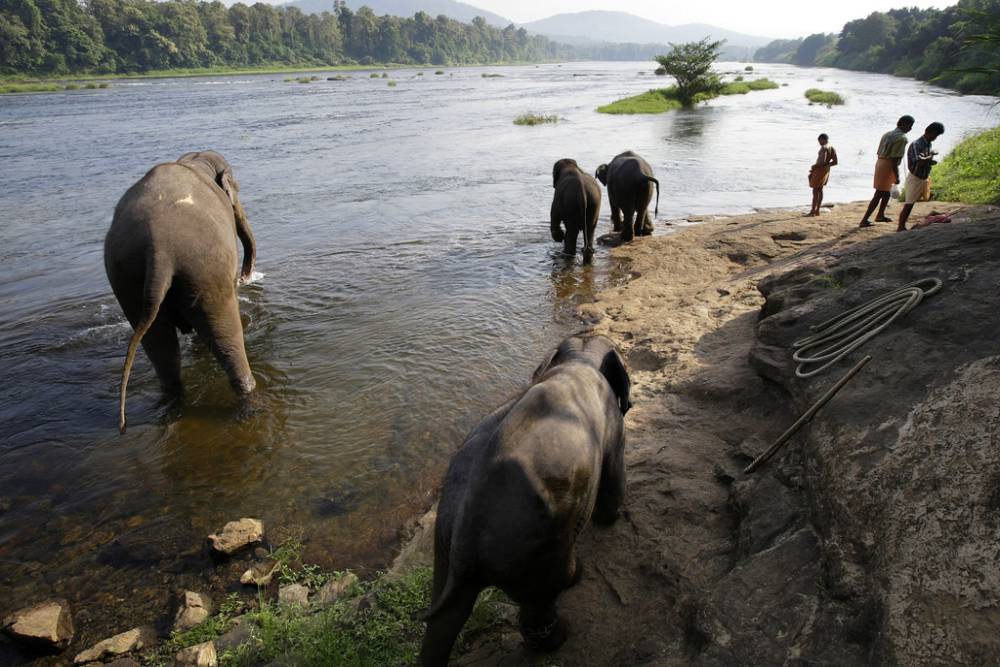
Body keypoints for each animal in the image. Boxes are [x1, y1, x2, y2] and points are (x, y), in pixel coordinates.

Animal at [104, 150, 257, 433]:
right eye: (237, 188)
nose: (244, 277)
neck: (195, 160)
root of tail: (160, 248)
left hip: (127, 279)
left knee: (160, 348)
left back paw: (175, 407)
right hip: (205, 271)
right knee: (227, 339)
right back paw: (250, 399)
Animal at [419, 333, 631, 666]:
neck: (579, 358)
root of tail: (465, 533)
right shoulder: (614, 429)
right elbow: (613, 477)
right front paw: (613, 518)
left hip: (443, 545)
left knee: (445, 619)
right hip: (531, 550)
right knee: (541, 599)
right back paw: (562, 627)